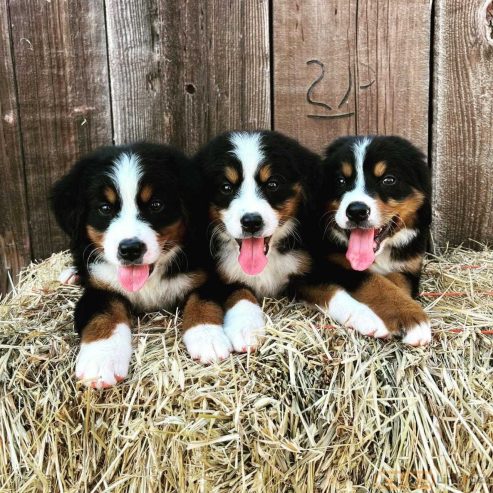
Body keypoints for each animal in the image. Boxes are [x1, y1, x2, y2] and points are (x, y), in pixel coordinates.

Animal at [52, 143, 233, 388]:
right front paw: (101, 361)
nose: (130, 249)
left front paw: (207, 337)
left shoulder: (205, 276)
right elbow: (103, 315)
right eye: (105, 208)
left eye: (156, 205)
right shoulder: (100, 289)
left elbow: (202, 302)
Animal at [194, 131, 320, 354]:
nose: (251, 222)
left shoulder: (305, 270)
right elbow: (241, 293)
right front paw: (245, 328)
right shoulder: (221, 276)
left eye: (272, 184)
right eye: (226, 187)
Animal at [298, 134, 428, 342]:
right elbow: (374, 281)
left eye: (389, 180)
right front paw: (412, 317)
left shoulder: (409, 268)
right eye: (340, 180)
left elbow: (396, 283)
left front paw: (407, 312)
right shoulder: (323, 267)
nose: (357, 211)